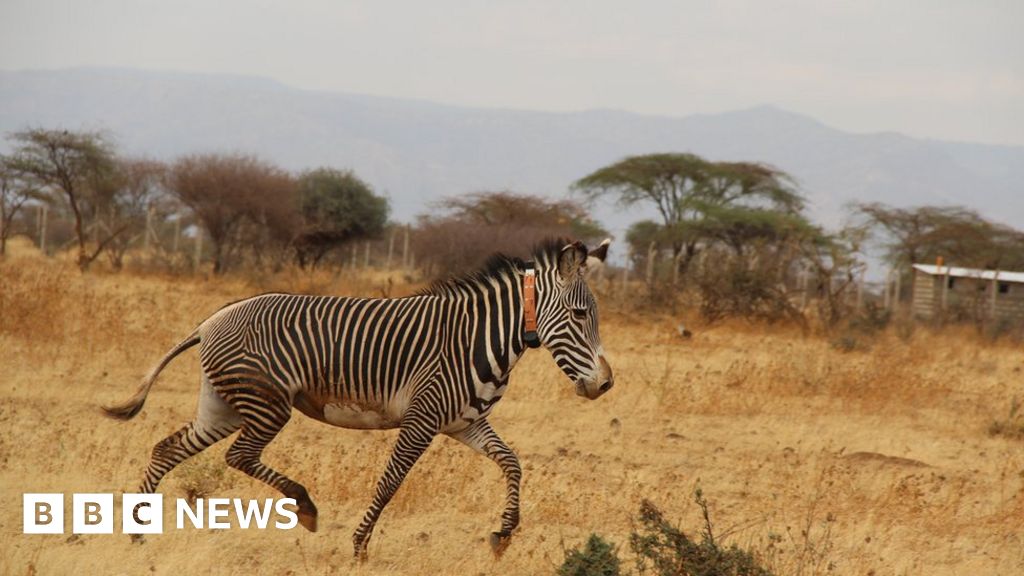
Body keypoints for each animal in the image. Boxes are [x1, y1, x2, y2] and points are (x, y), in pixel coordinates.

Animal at [103, 238, 613, 559]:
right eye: (580, 314)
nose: (605, 385)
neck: (482, 338)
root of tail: (212, 319)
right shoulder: (423, 419)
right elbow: (390, 482)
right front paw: (360, 545)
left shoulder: (465, 422)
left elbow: (512, 462)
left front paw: (503, 535)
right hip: (267, 403)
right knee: (239, 455)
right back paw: (305, 507)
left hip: (222, 404)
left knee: (167, 449)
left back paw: (137, 533)